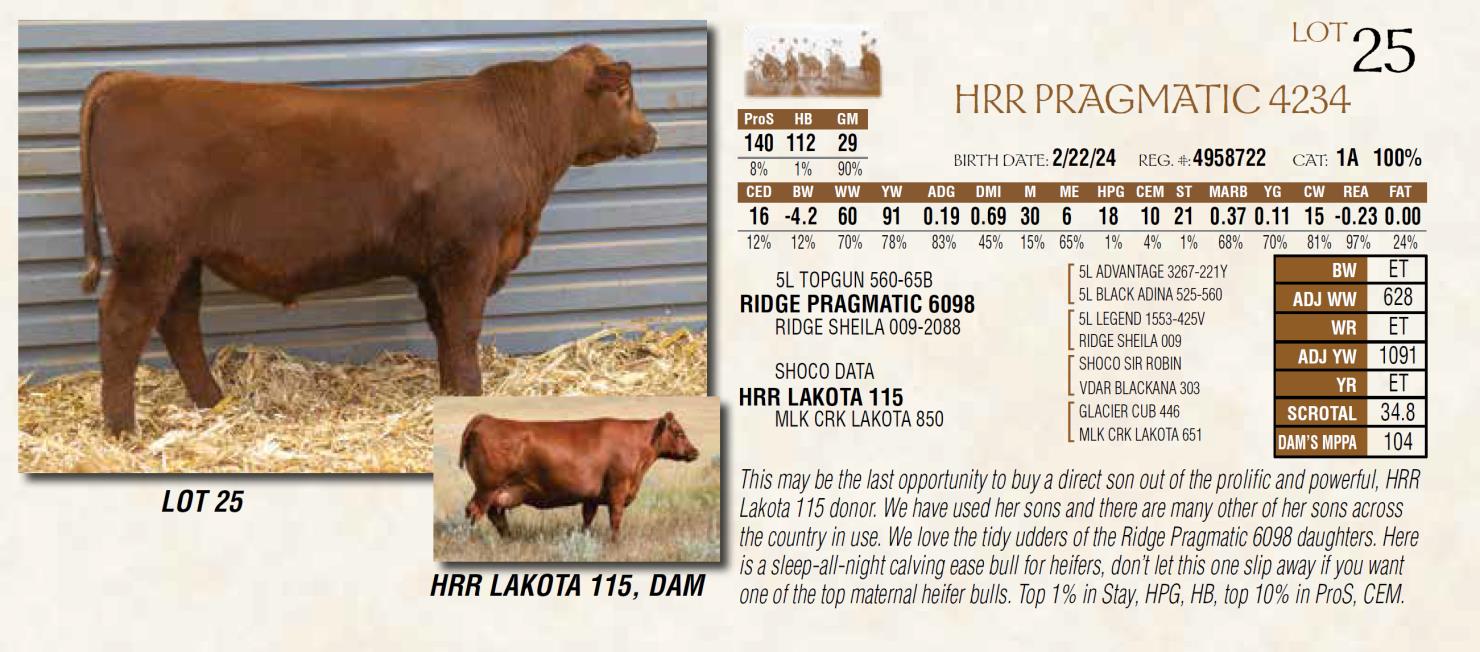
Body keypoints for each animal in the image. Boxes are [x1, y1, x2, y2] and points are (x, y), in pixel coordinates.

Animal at [76, 44, 659, 434]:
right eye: (624, 92)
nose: (652, 134)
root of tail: (127, 77)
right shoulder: (470, 250)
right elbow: (465, 327)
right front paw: (470, 392)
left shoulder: (435, 262)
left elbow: (444, 328)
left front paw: (450, 390)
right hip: (149, 251)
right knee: (124, 323)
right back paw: (123, 428)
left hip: (181, 256)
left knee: (179, 321)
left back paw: (211, 402)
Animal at [457, 411, 700, 541]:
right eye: (679, 432)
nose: (695, 452)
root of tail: (487, 418)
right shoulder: (618, 489)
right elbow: (615, 519)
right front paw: (615, 543)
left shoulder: (591, 497)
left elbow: (587, 519)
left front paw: (584, 539)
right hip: (486, 488)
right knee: (474, 511)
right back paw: (471, 541)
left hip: (497, 492)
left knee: (495, 515)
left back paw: (509, 539)